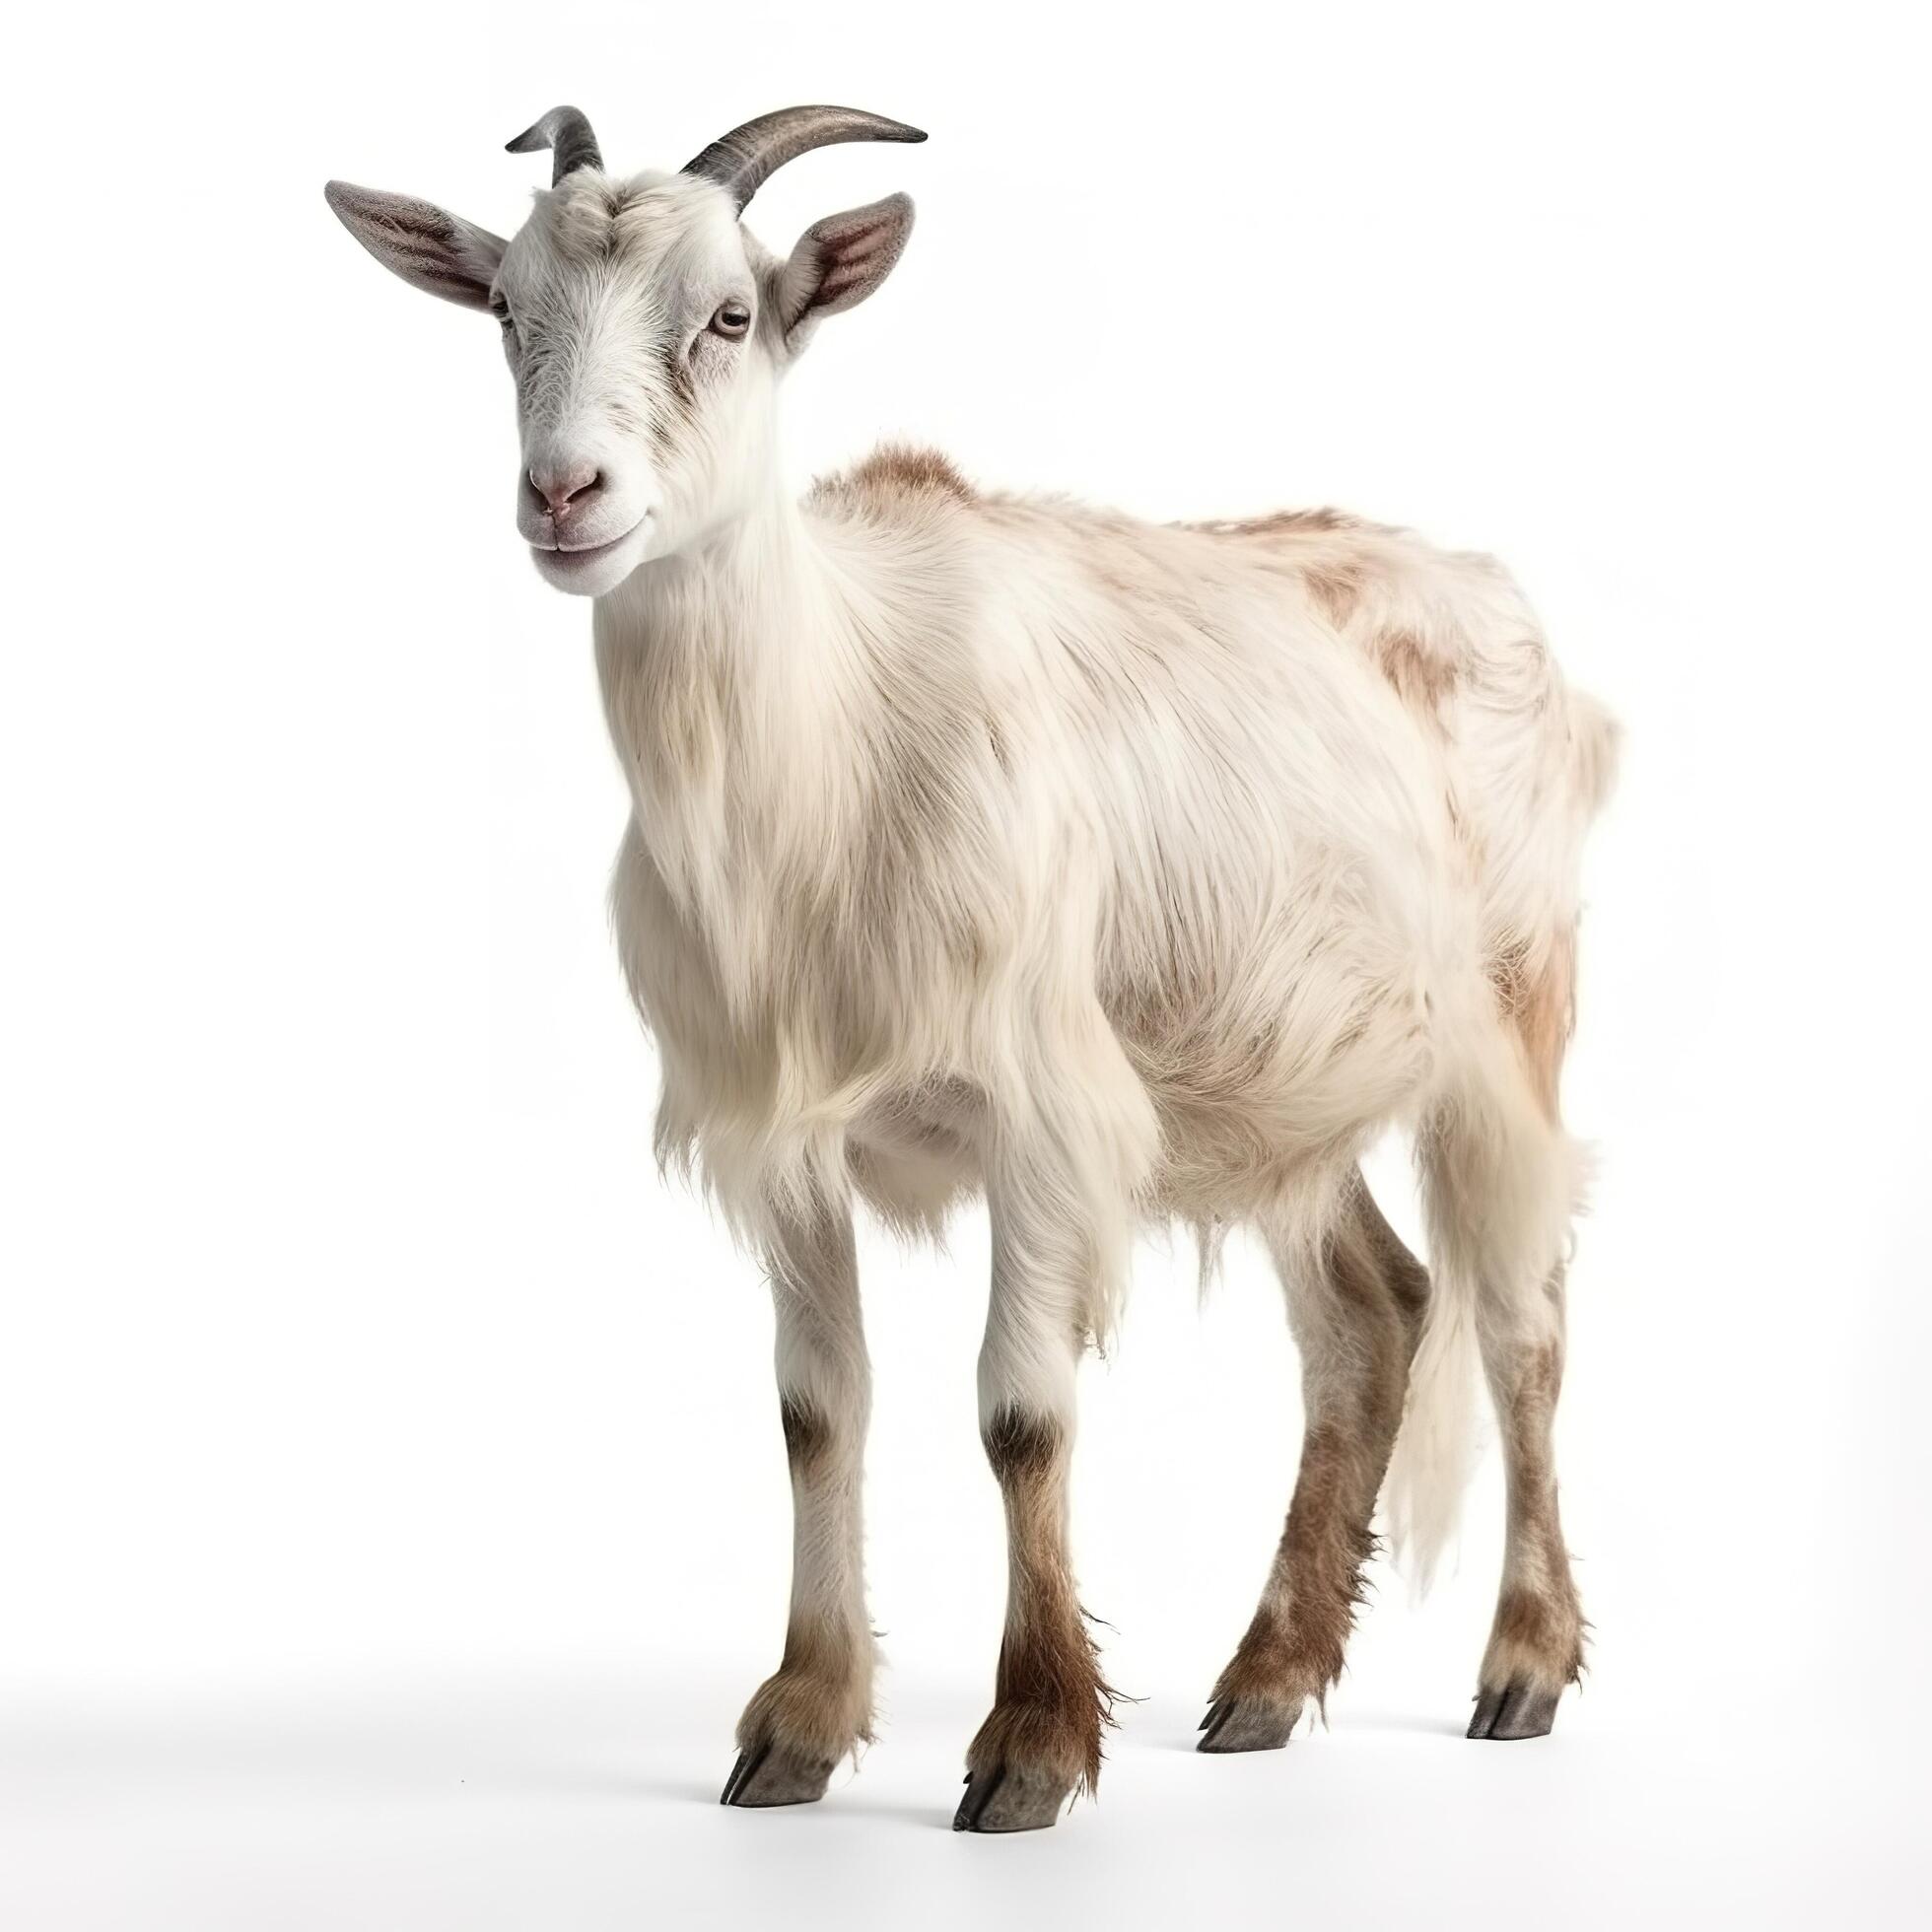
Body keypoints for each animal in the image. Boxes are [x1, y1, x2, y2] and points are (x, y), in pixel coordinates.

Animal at [326, 104, 1618, 1832]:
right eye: (504, 312)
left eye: (728, 316)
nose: (564, 493)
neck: (828, 735)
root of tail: (1495, 595)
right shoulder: (786, 1135)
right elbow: (816, 1412)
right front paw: (797, 1728)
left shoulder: (1045, 1111)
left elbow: (1020, 1414)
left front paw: (1031, 1746)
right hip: (1266, 1085)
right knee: (1371, 1312)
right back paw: (1265, 1685)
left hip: (1508, 1019)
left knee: (1522, 1316)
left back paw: (1523, 1670)